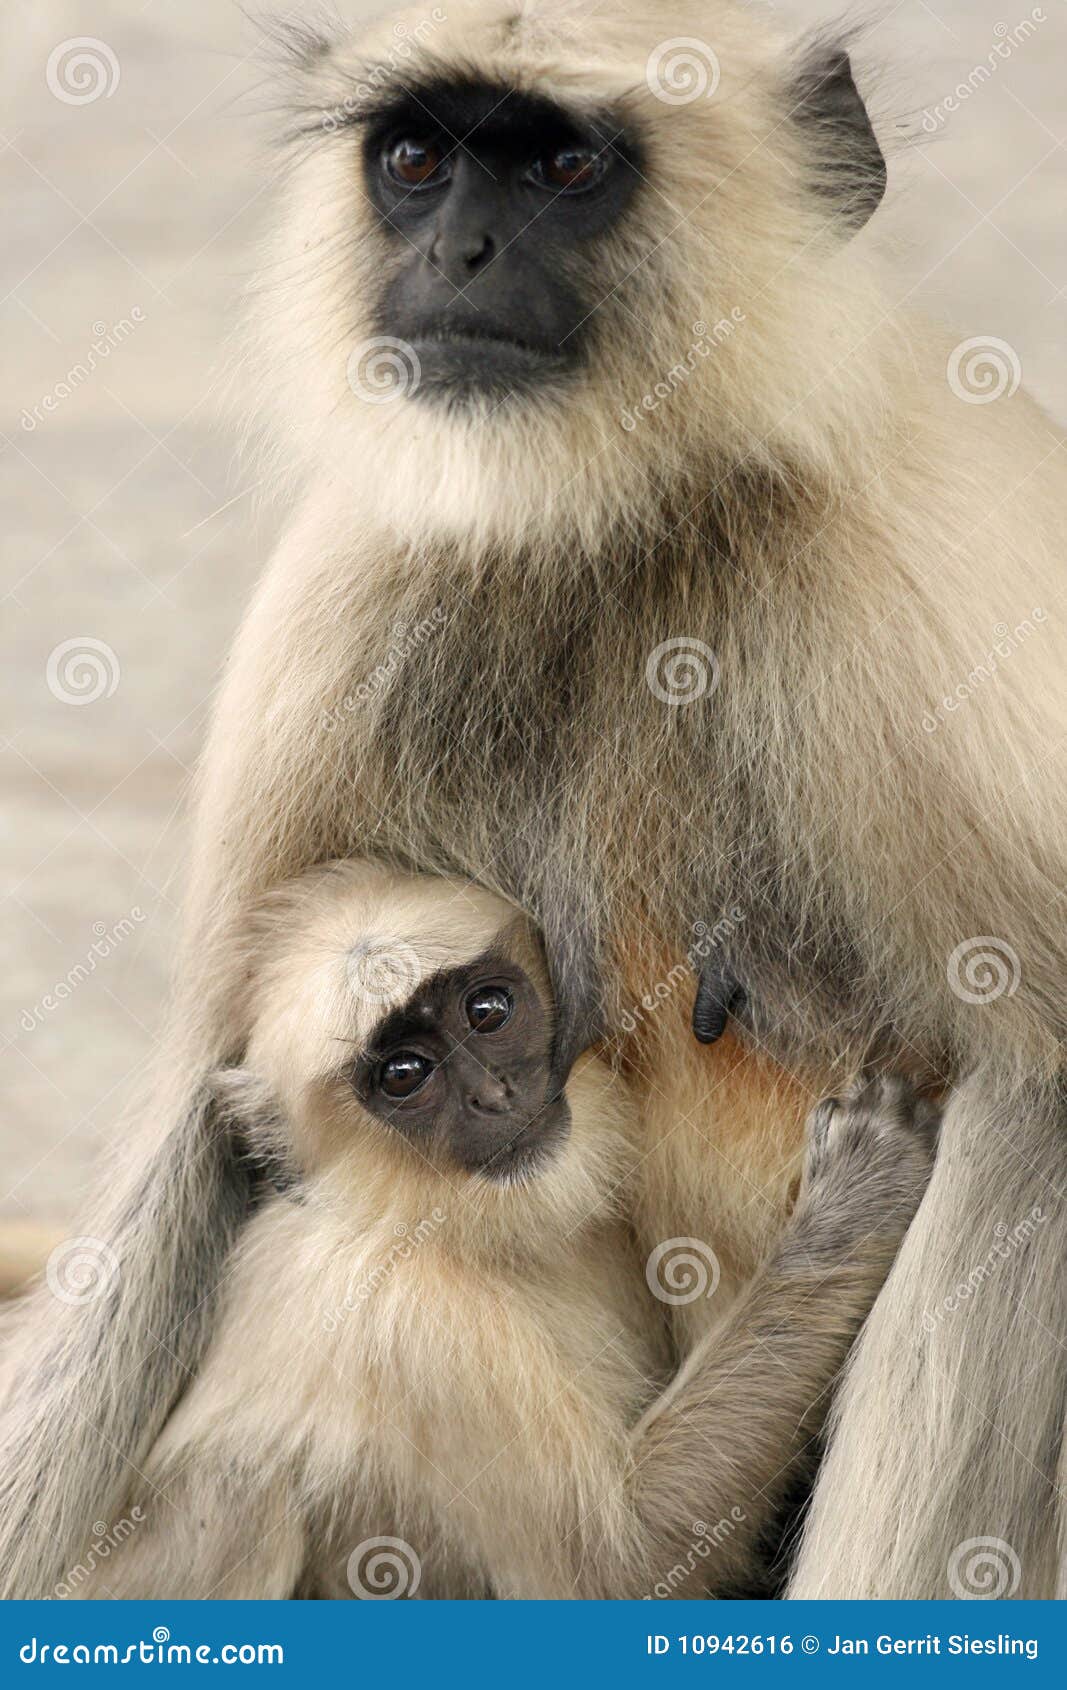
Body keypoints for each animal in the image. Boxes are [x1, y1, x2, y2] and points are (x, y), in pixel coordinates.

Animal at [66, 860, 936, 1599]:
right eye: (404, 1075)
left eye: (487, 1012)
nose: (495, 1093)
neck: (436, 1224)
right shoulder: (407, 1316)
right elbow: (621, 1566)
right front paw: (855, 1197)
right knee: (234, 1496)